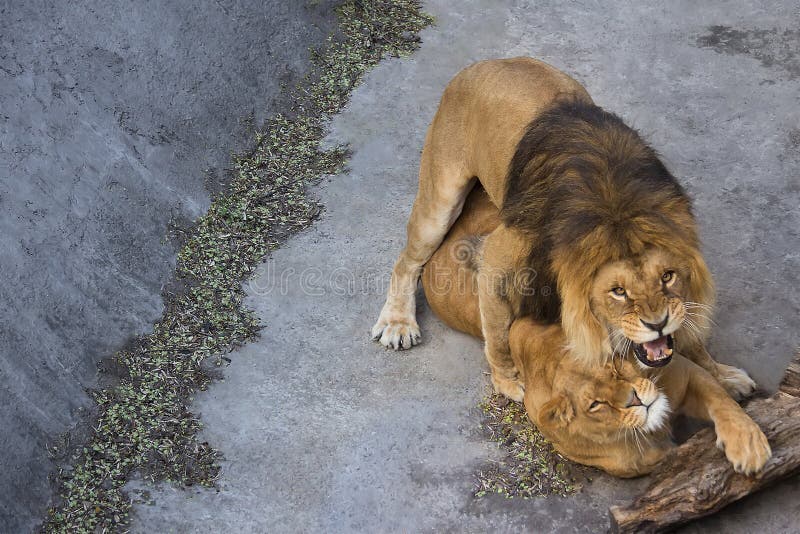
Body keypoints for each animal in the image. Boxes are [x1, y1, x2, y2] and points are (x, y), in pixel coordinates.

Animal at [371, 57, 755, 402]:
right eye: (617, 291)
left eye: (668, 277)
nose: (657, 324)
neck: (617, 208)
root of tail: (478, 65)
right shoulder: (496, 255)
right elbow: (497, 333)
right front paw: (509, 382)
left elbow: (694, 337)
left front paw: (724, 376)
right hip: (440, 200)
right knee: (406, 262)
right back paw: (398, 324)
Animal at [420, 187, 771, 477]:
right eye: (596, 405)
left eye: (615, 369)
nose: (636, 401)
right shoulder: (635, 462)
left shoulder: (686, 375)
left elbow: (721, 402)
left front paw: (749, 445)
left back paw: (734, 379)